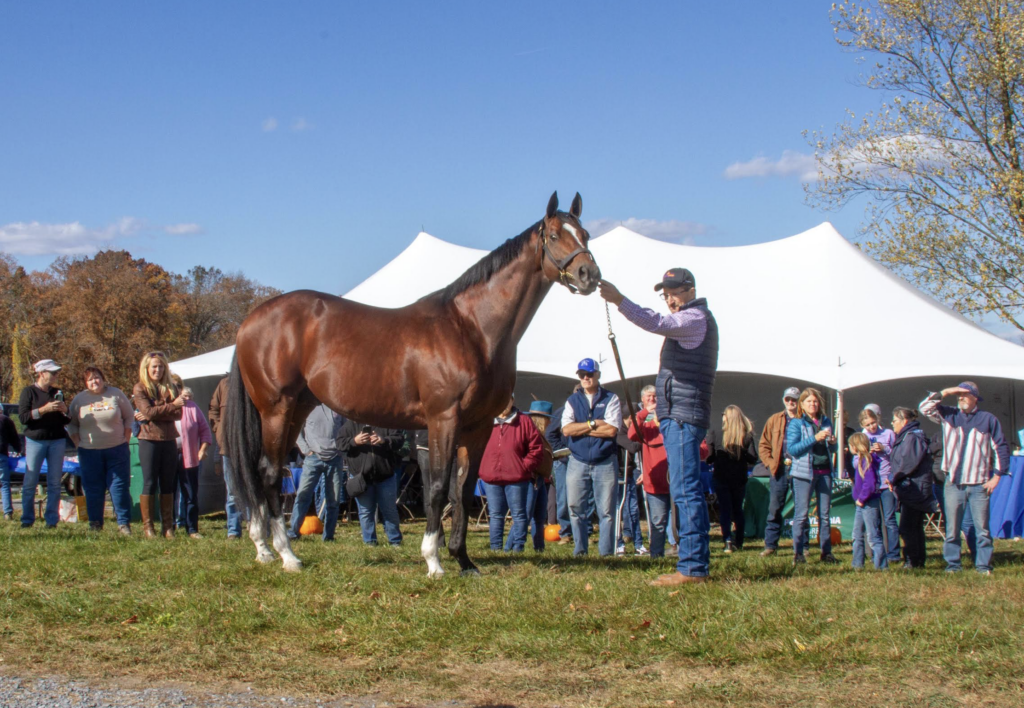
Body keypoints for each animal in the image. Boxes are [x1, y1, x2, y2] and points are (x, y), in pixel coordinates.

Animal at [223, 191, 600, 576]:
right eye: (553, 235)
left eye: (585, 234)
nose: (589, 275)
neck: (472, 328)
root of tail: (251, 321)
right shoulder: (443, 420)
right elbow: (437, 488)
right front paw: (433, 561)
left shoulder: (477, 427)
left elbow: (462, 491)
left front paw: (464, 561)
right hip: (276, 410)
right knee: (269, 473)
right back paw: (286, 555)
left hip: (297, 409)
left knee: (260, 472)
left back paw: (263, 549)